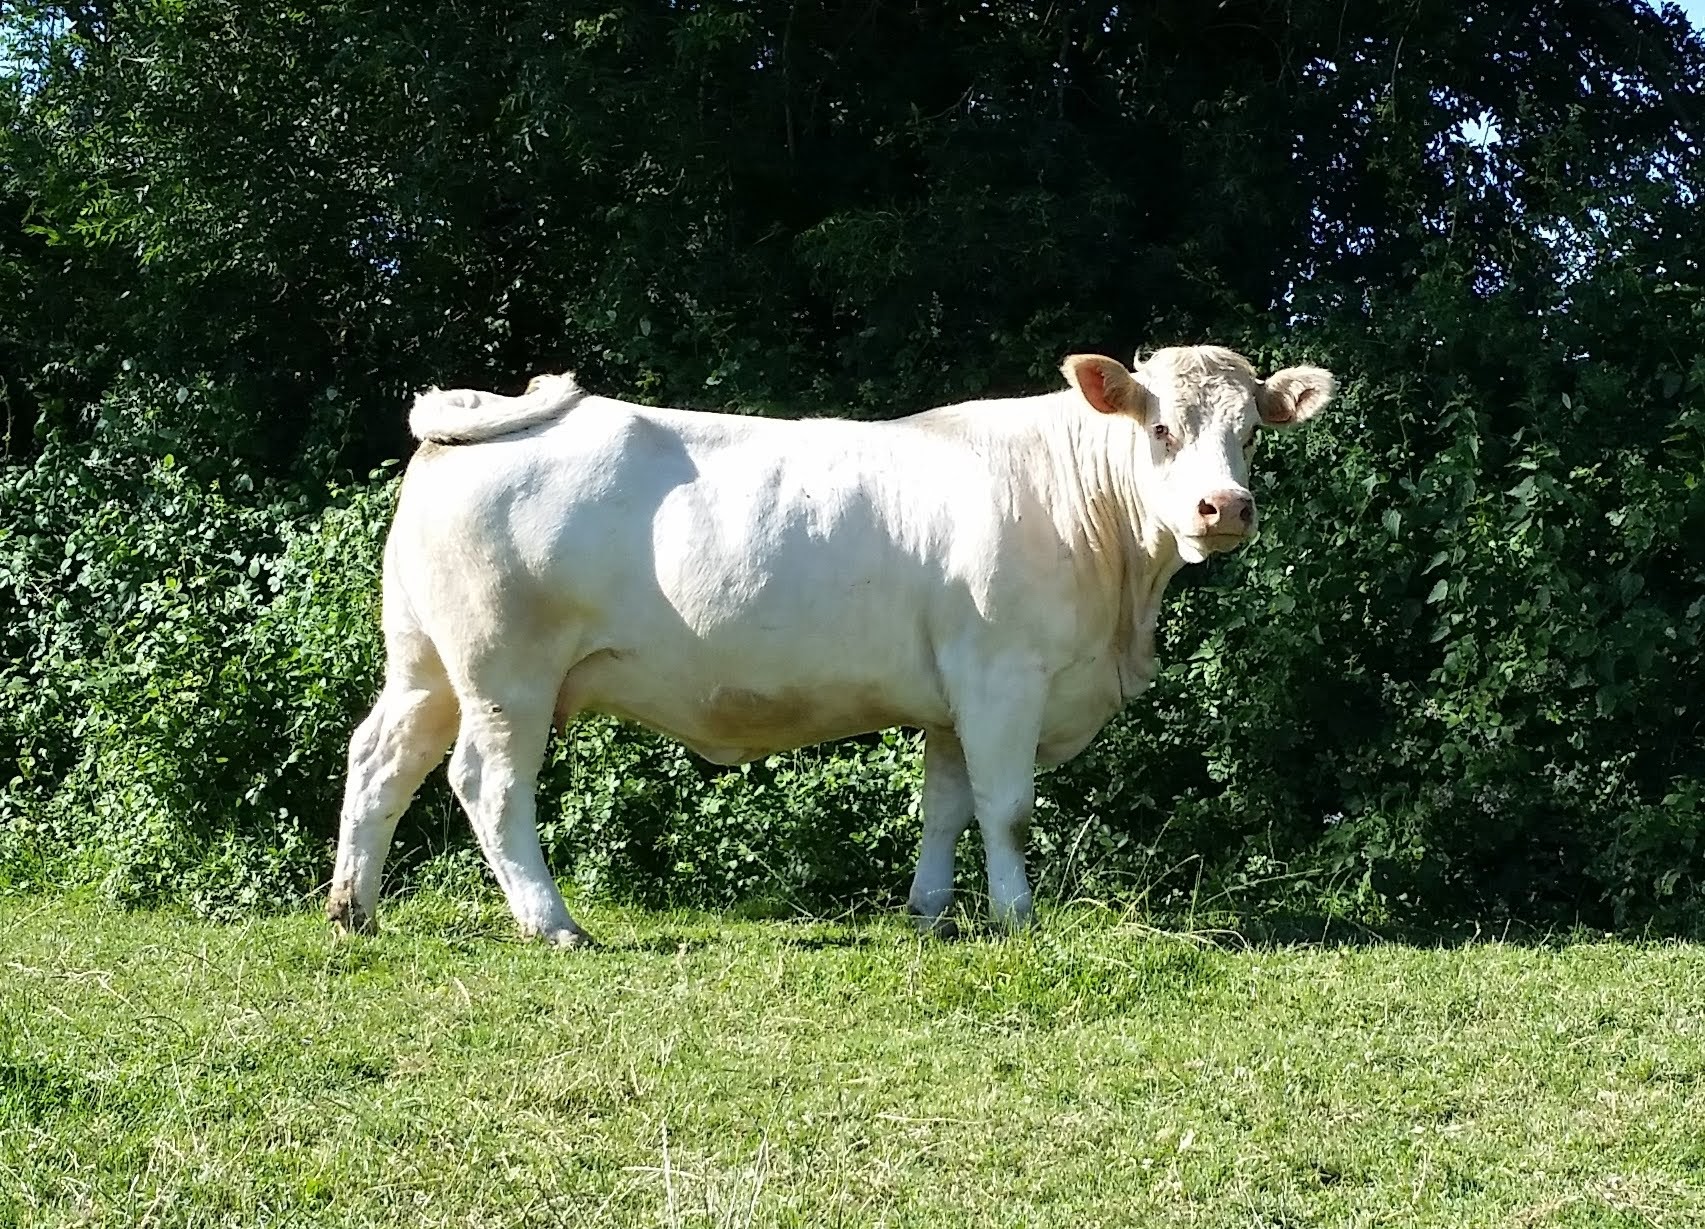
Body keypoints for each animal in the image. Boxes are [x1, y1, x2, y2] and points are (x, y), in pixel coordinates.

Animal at [326, 346, 1334, 946]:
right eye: (1159, 428)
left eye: (1251, 433)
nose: (1224, 508)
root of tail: (475, 415)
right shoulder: (1003, 678)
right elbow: (1006, 809)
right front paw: (1016, 915)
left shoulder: (951, 696)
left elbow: (944, 807)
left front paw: (928, 912)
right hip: (507, 672)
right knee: (487, 785)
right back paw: (553, 924)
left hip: (424, 663)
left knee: (379, 760)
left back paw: (352, 908)